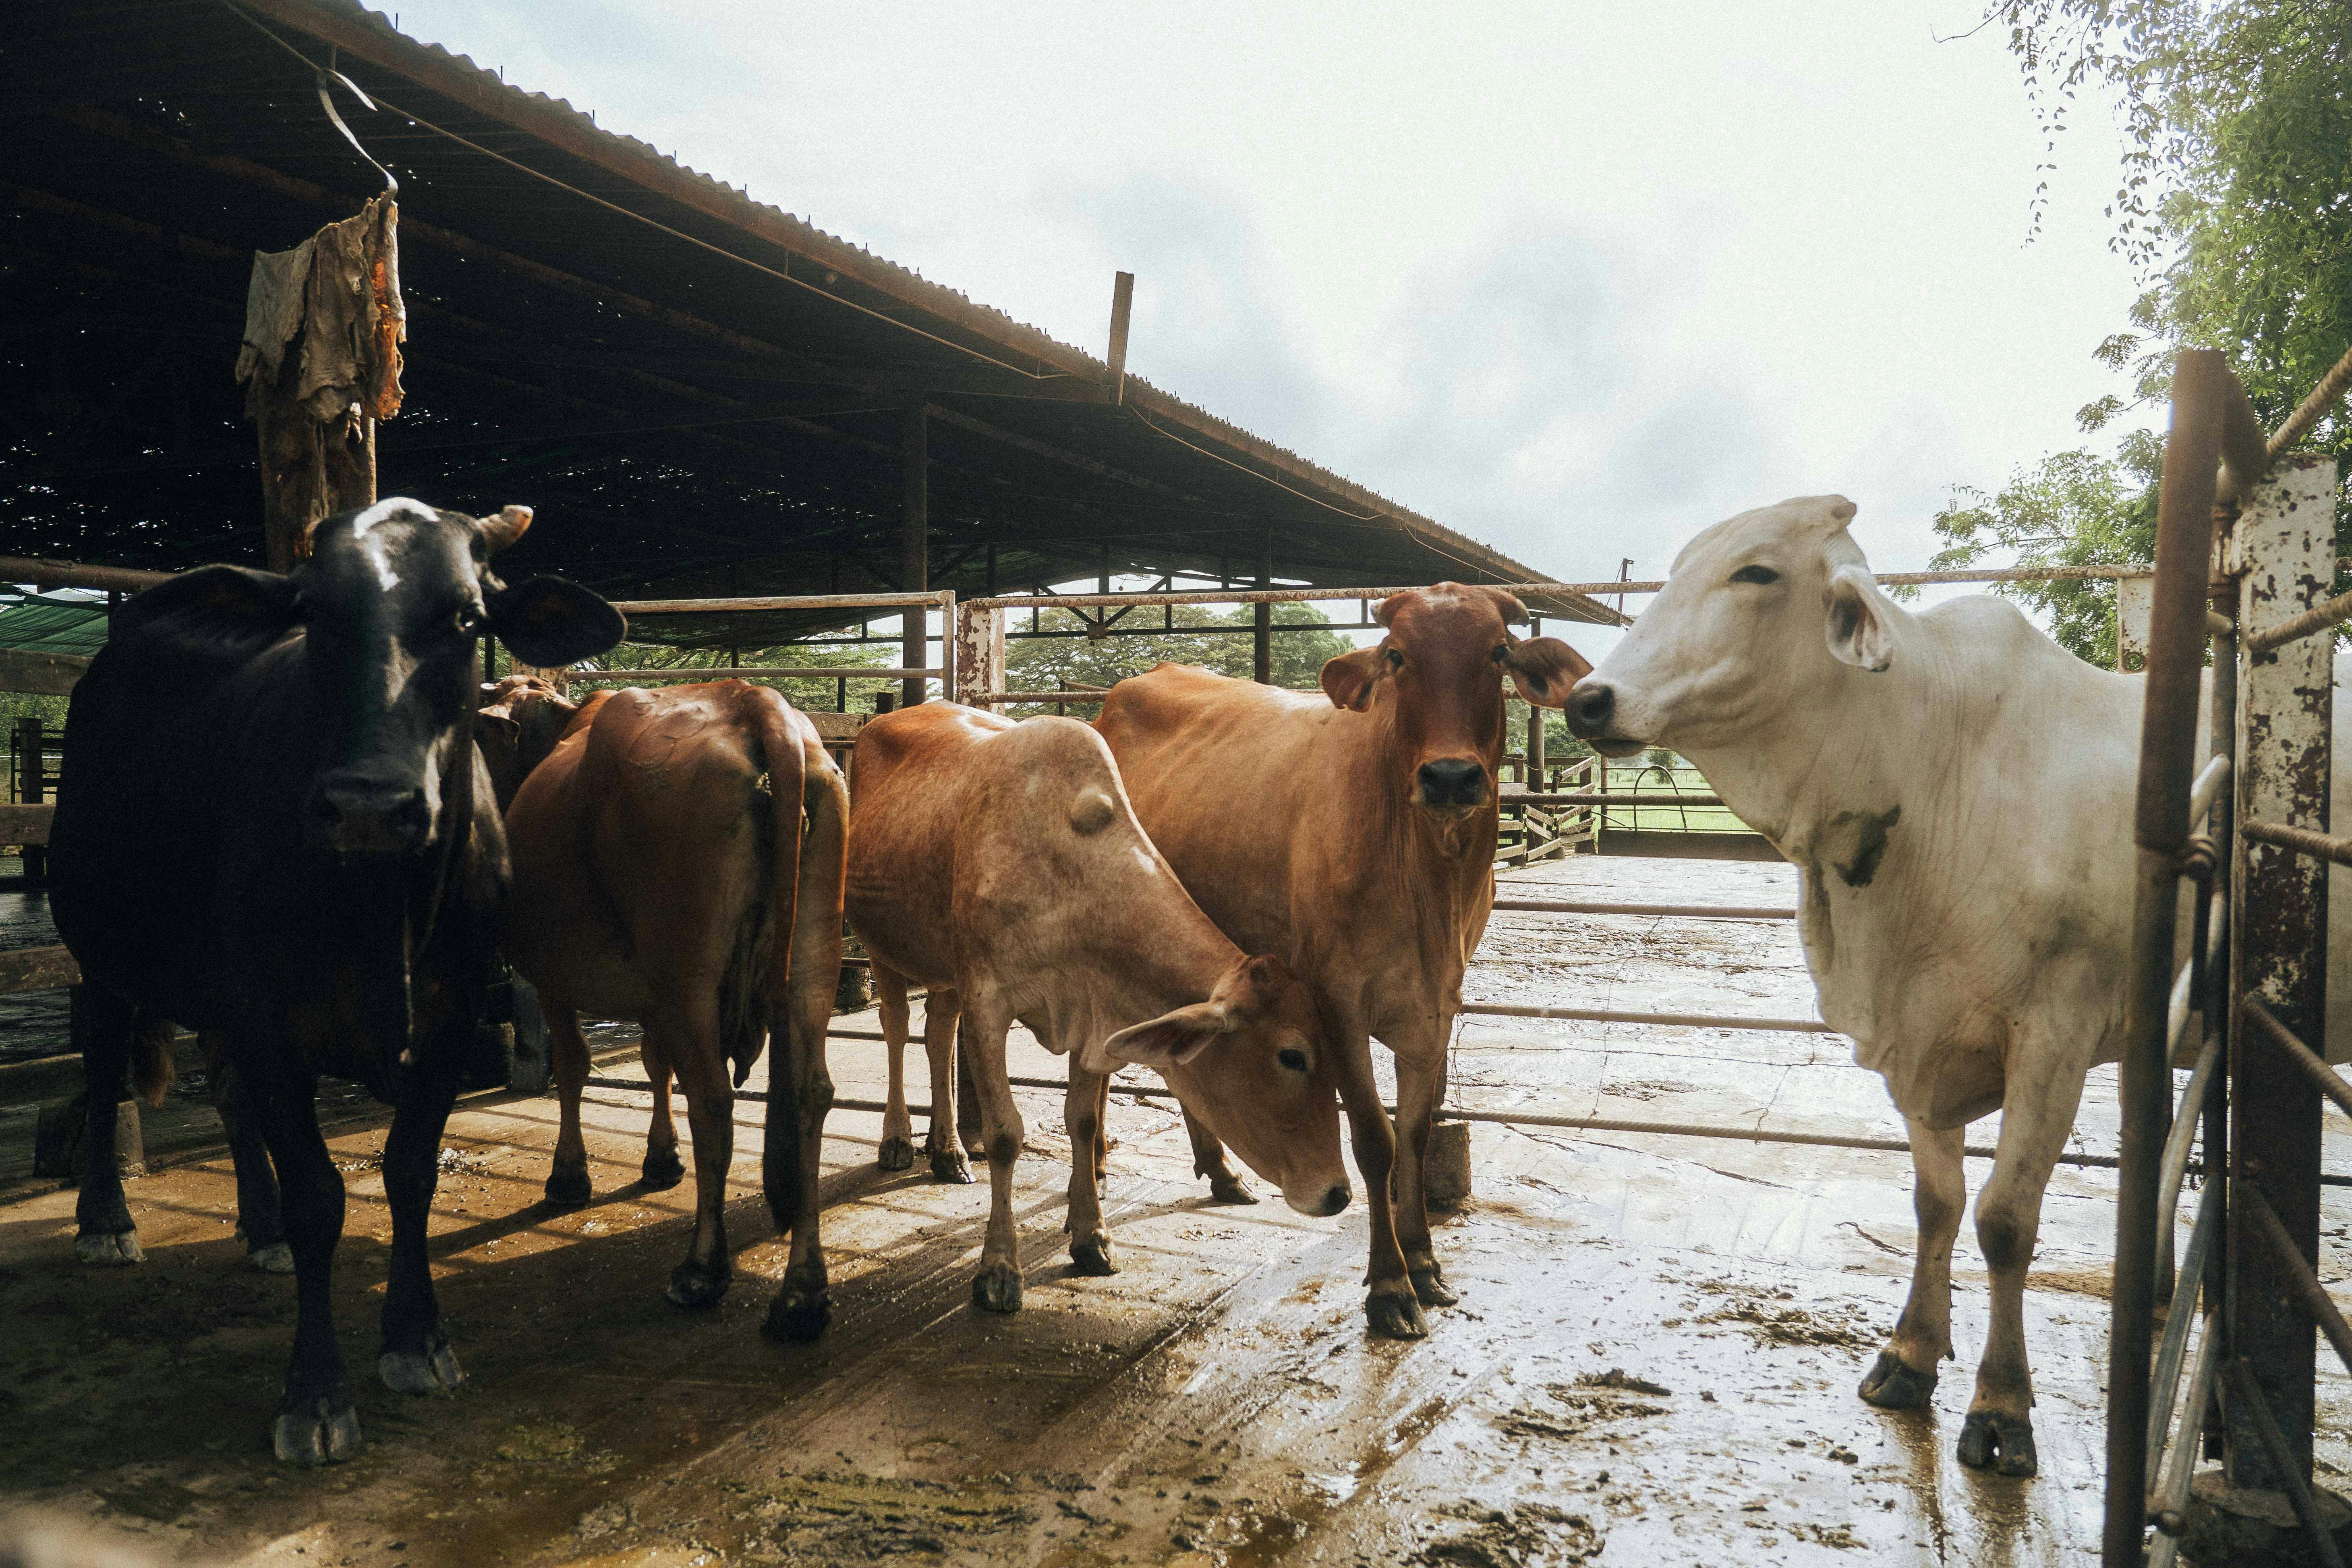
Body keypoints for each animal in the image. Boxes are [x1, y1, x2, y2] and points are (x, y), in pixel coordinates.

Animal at [49, 498, 623, 1466]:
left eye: (466, 618)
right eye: (314, 612)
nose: (368, 803)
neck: (382, 904)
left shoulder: (449, 1015)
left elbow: (410, 1170)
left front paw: (417, 1337)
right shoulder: (270, 1016)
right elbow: (321, 1195)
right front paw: (315, 1392)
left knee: (226, 1090)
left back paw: (261, 1224)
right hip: (101, 948)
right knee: (101, 1066)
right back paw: (108, 1220)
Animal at [490, 676, 847, 1339]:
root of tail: (750, 699)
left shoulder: (554, 979)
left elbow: (573, 1066)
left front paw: (569, 1174)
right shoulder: (652, 994)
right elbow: (656, 1065)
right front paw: (661, 1158)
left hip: (688, 973)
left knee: (712, 1100)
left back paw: (703, 1268)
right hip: (811, 958)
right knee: (810, 1093)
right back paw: (802, 1294)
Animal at [846, 703, 1351, 1310]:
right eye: (1291, 1055)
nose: (1338, 1192)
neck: (1073, 874)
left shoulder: (1088, 1010)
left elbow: (1083, 1121)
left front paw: (1090, 1237)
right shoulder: (989, 1002)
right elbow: (1005, 1134)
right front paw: (999, 1268)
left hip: (943, 964)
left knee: (938, 1033)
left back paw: (948, 1151)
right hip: (881, 946)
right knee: (897, 1030)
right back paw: (898, 1139)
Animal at [1095, 587, 1592, 1338]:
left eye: (1497, 652)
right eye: (1397, 655)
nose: (1450, 777)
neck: (1429, 878)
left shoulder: (1437, 1002)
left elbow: (1414, 1133)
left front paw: (1424, 1261)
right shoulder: (1337, 1003)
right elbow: (1373, 1142)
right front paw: (1388, 1284)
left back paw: (1220, 1171)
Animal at [1560, 491, 2260, 1476]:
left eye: (1756, 572)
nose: (1589, 699)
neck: (1931, 758)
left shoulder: (2056, 1034)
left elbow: (2002, 1220)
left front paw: (2001, 1407)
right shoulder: (1917, 1036)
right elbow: (1936, 1204)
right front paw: (1909, 1356)